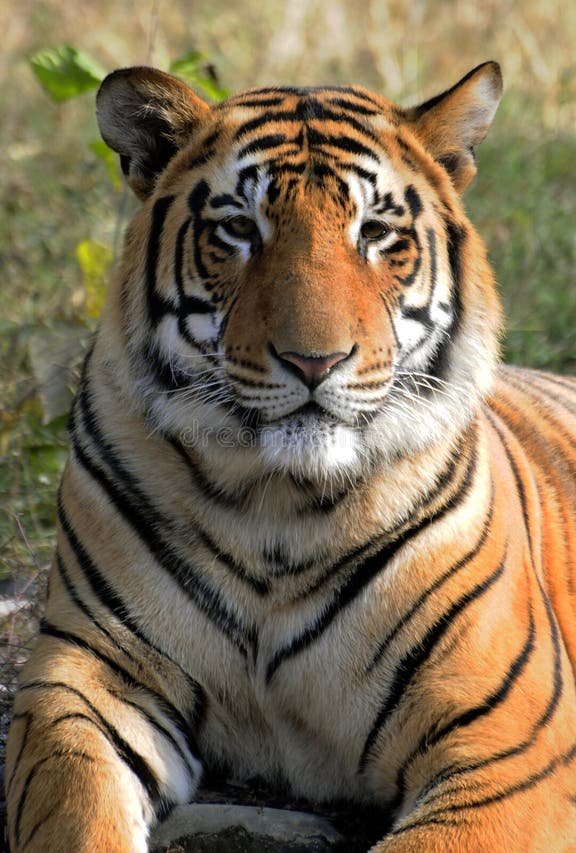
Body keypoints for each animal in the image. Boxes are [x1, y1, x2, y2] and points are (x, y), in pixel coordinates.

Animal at [5, 59, 576, 852]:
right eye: (240, 229)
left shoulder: (509, 734)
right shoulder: (86, 670)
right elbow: (72, 802)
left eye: (376, 232)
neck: (278, 503)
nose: (315, 361)